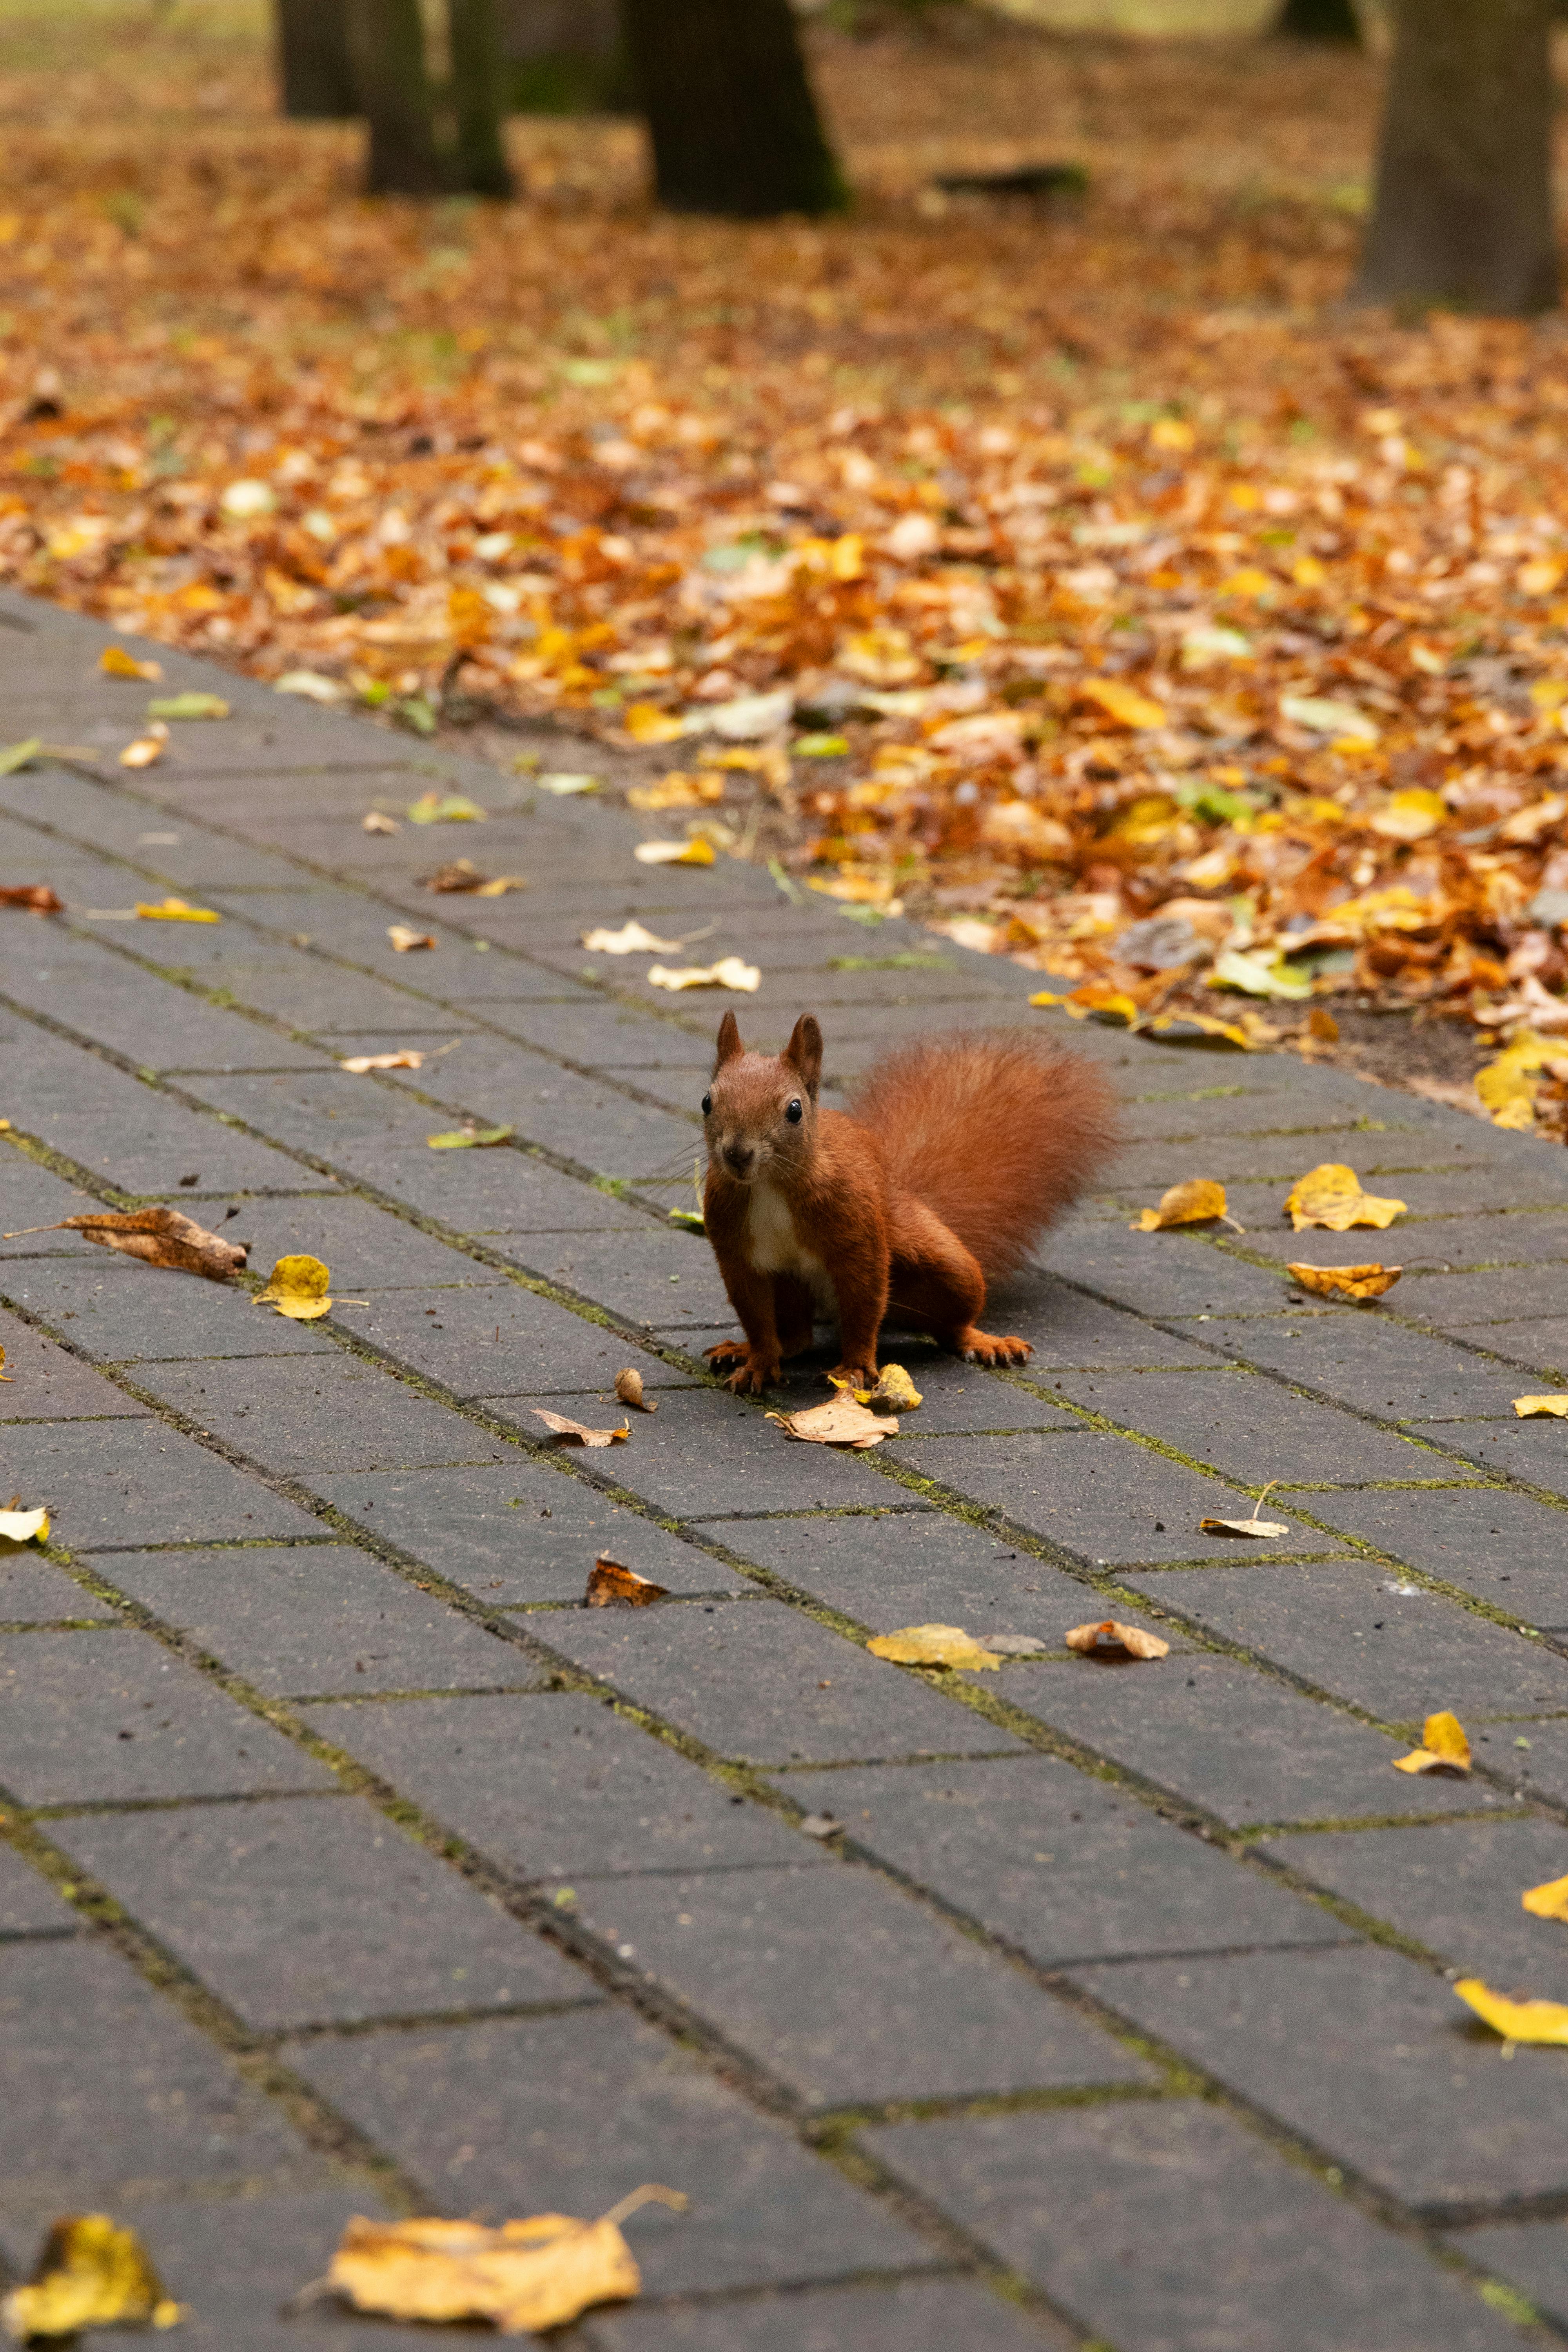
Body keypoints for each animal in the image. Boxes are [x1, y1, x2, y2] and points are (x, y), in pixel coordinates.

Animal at [699, 1011, 1120, 1396]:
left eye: (794, 1110)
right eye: (706, 1102)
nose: (737, 1154)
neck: (769, 1188)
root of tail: (900, 1189)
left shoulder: (858, 1233)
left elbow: (864, 1303)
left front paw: (854, 1369)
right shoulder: (736, 1252)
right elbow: (755, 1317)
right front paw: (757, 1364)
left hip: (948, 1269)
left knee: (951, 1324)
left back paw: (983, 1342)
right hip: (791, 1285)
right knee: (796, 1338)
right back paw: (744, 1350)